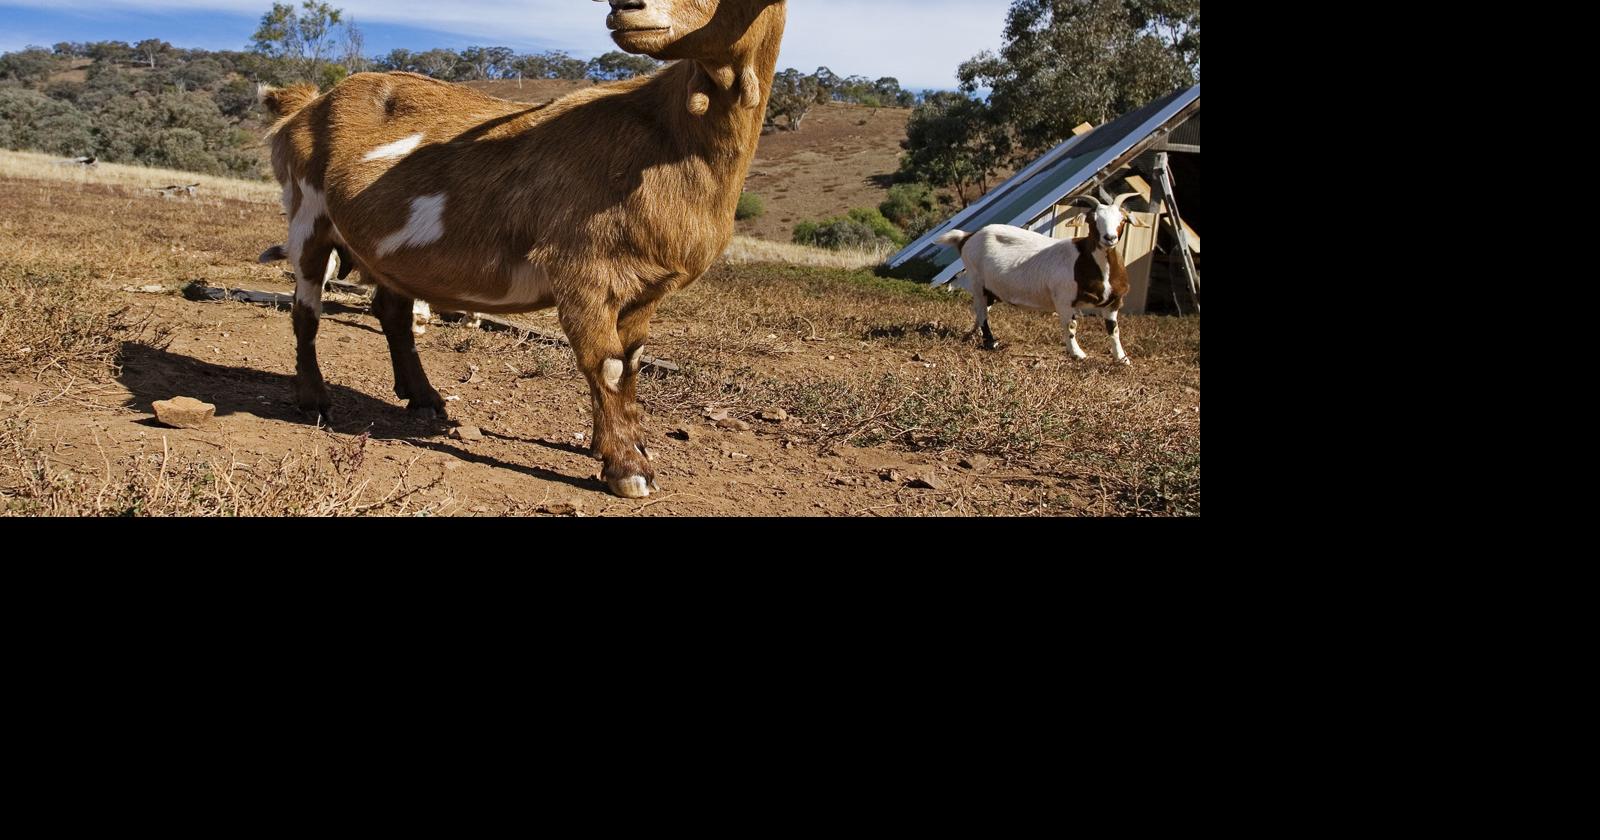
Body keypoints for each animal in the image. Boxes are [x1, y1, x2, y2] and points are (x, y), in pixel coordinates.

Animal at [260, 0, 786, 499]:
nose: (625, 7)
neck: (669, 135)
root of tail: (305, 104)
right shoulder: (583, 270)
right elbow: (608, 365)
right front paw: (629, 471)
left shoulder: (646, 289)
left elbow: (632, 364)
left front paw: (622, 445)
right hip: (307, 213)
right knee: (305, 310)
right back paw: (315, 399)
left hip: (388, 252)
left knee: (393, 312)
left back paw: (424, 398)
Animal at [935, 193, 1147, 364]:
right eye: (1092, 219)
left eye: (1122, 219)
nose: (1109, 238)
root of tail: (967, 237)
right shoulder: (1064, 299)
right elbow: (1071, 326)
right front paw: (1077, 354)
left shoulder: (1113, 303)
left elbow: (1114, 330)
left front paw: (1122, 358)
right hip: (977, 280)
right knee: (981, 311)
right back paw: (990, 342)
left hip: (990, 289)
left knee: (982, 311)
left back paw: (973, 334)